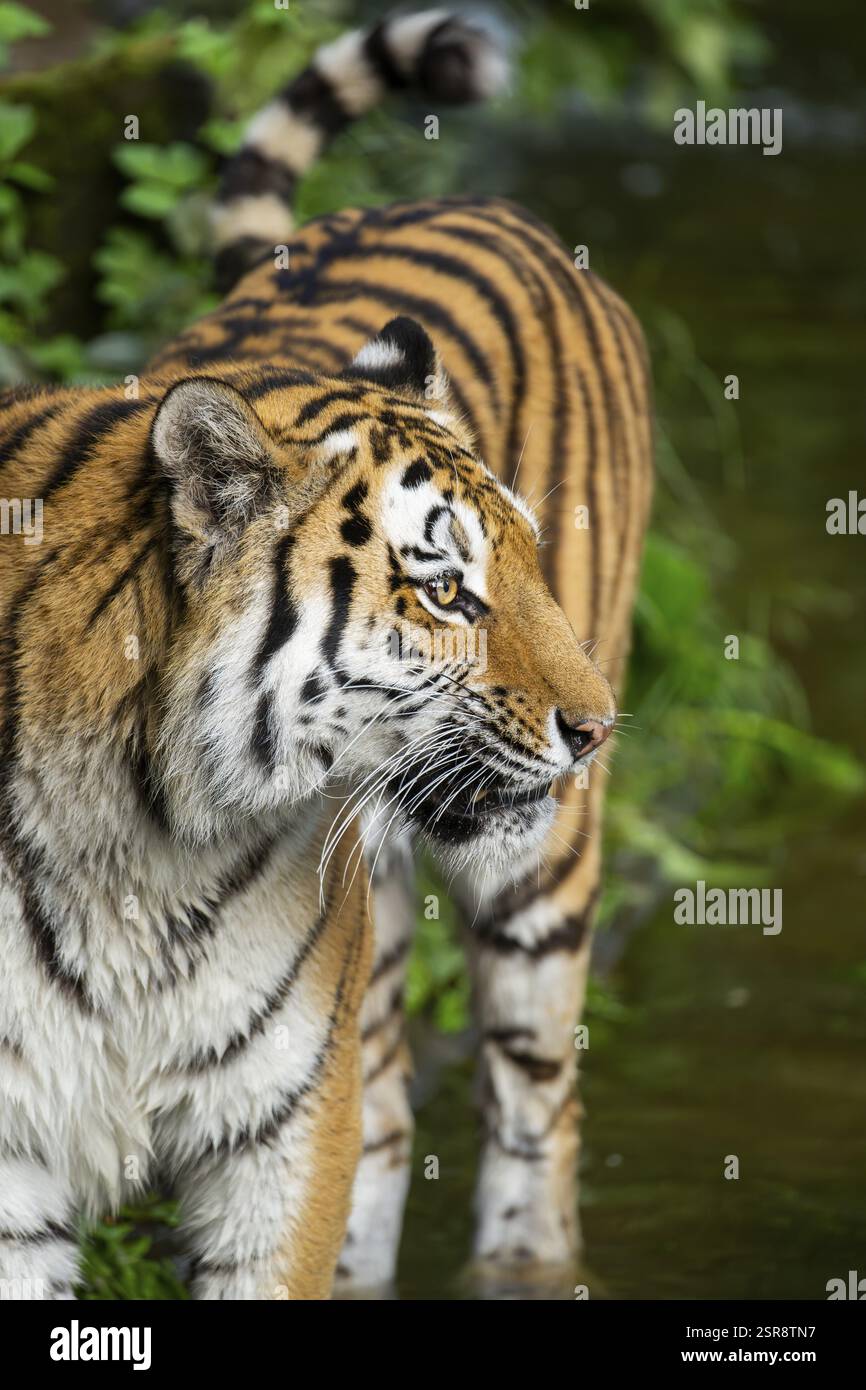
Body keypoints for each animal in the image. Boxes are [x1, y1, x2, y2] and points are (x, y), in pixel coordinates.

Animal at [0, 9, 652, 1300]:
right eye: (446, 589)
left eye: (527, 559)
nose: (598, 726)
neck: (139, 841)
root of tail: (481, 201)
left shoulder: (283, 1124)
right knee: (400, 1107)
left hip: (539, 889)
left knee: (535, 1107)